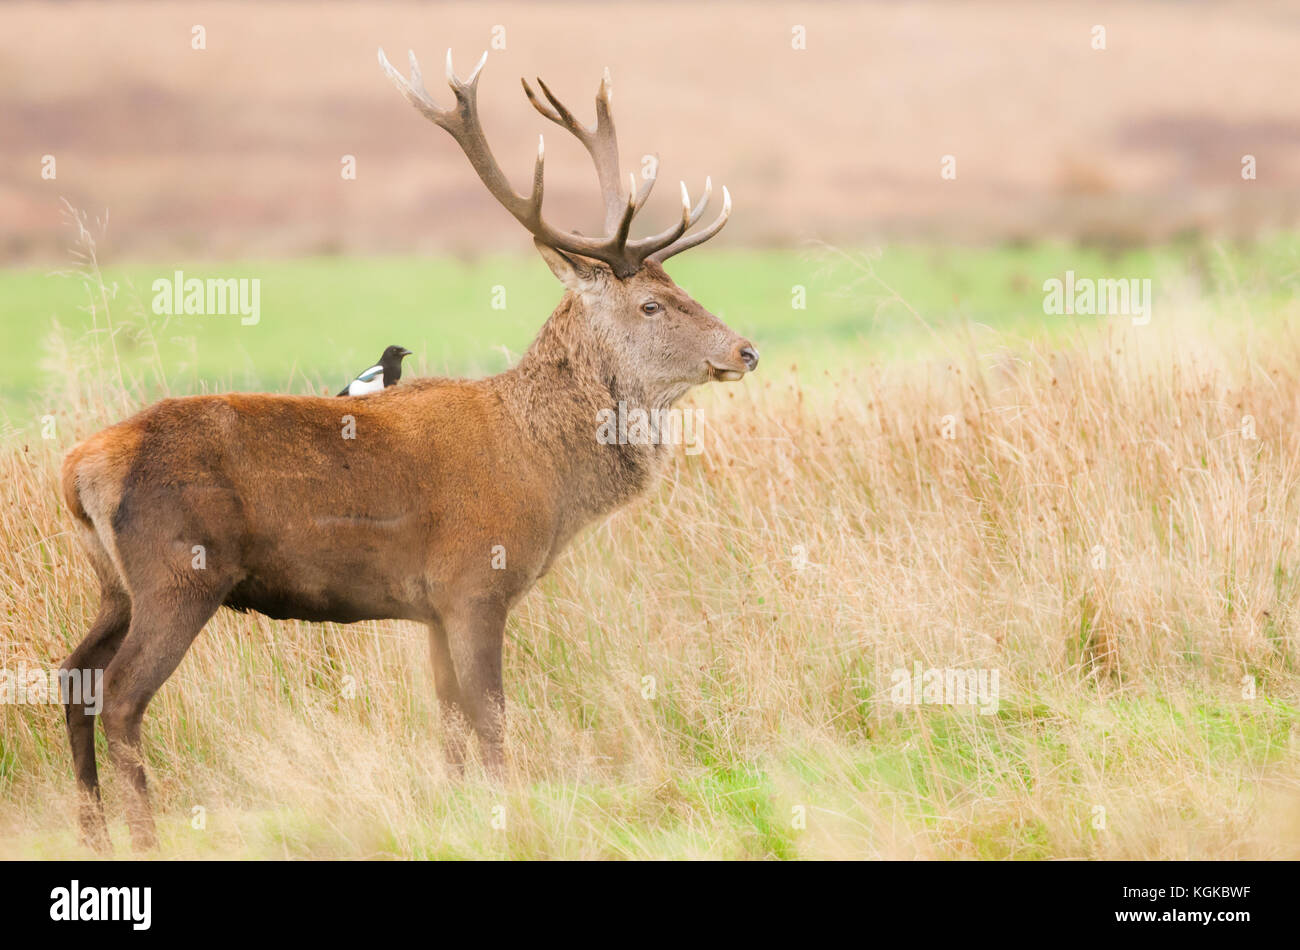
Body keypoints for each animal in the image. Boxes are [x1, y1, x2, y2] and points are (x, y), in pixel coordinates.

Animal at [59, 46, 758, 852]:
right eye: (650, 305)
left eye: (683, 289)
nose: (746, 350)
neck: (548, 476)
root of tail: (78, 468)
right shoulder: (475, 583)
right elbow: (491, 721)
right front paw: (507, 819)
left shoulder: (429, 608)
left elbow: (448, 726)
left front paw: (455, 814)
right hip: (180, 572)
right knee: (119, 696)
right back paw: (144, 838)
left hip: (114, 584)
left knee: (71, 677)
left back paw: (92, 833)